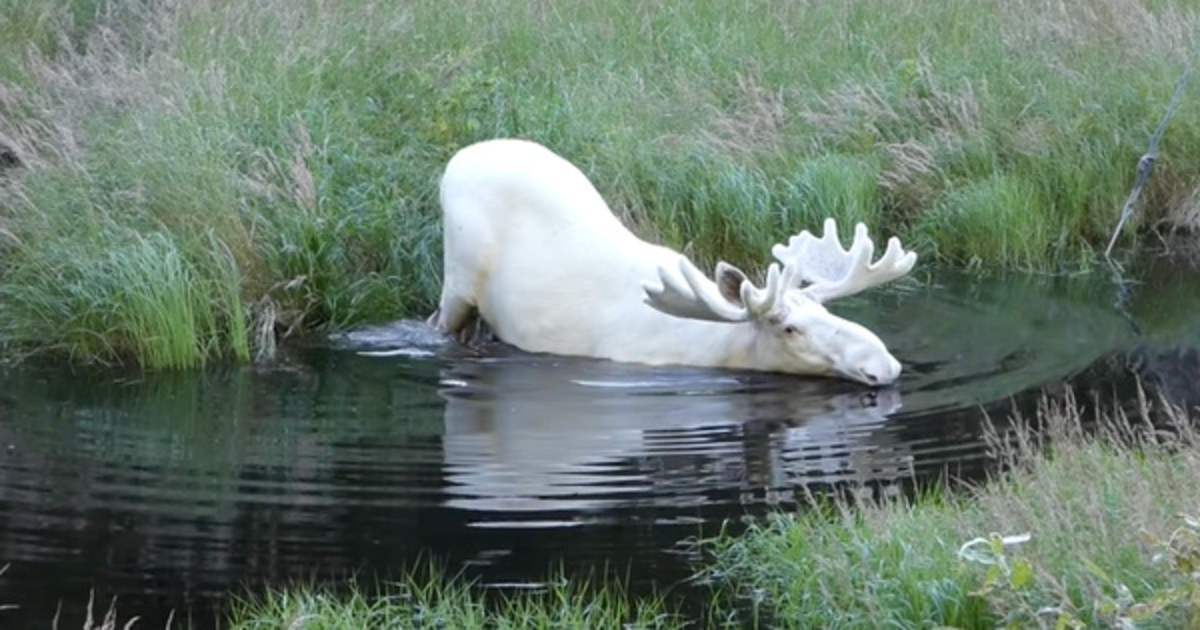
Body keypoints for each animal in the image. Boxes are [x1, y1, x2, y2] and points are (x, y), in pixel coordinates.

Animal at [426, 138, 918, 387]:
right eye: (790, 329)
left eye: (826, 311)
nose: (884, 364)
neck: (720, 348)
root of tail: (456, 160)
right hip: (457, 280)